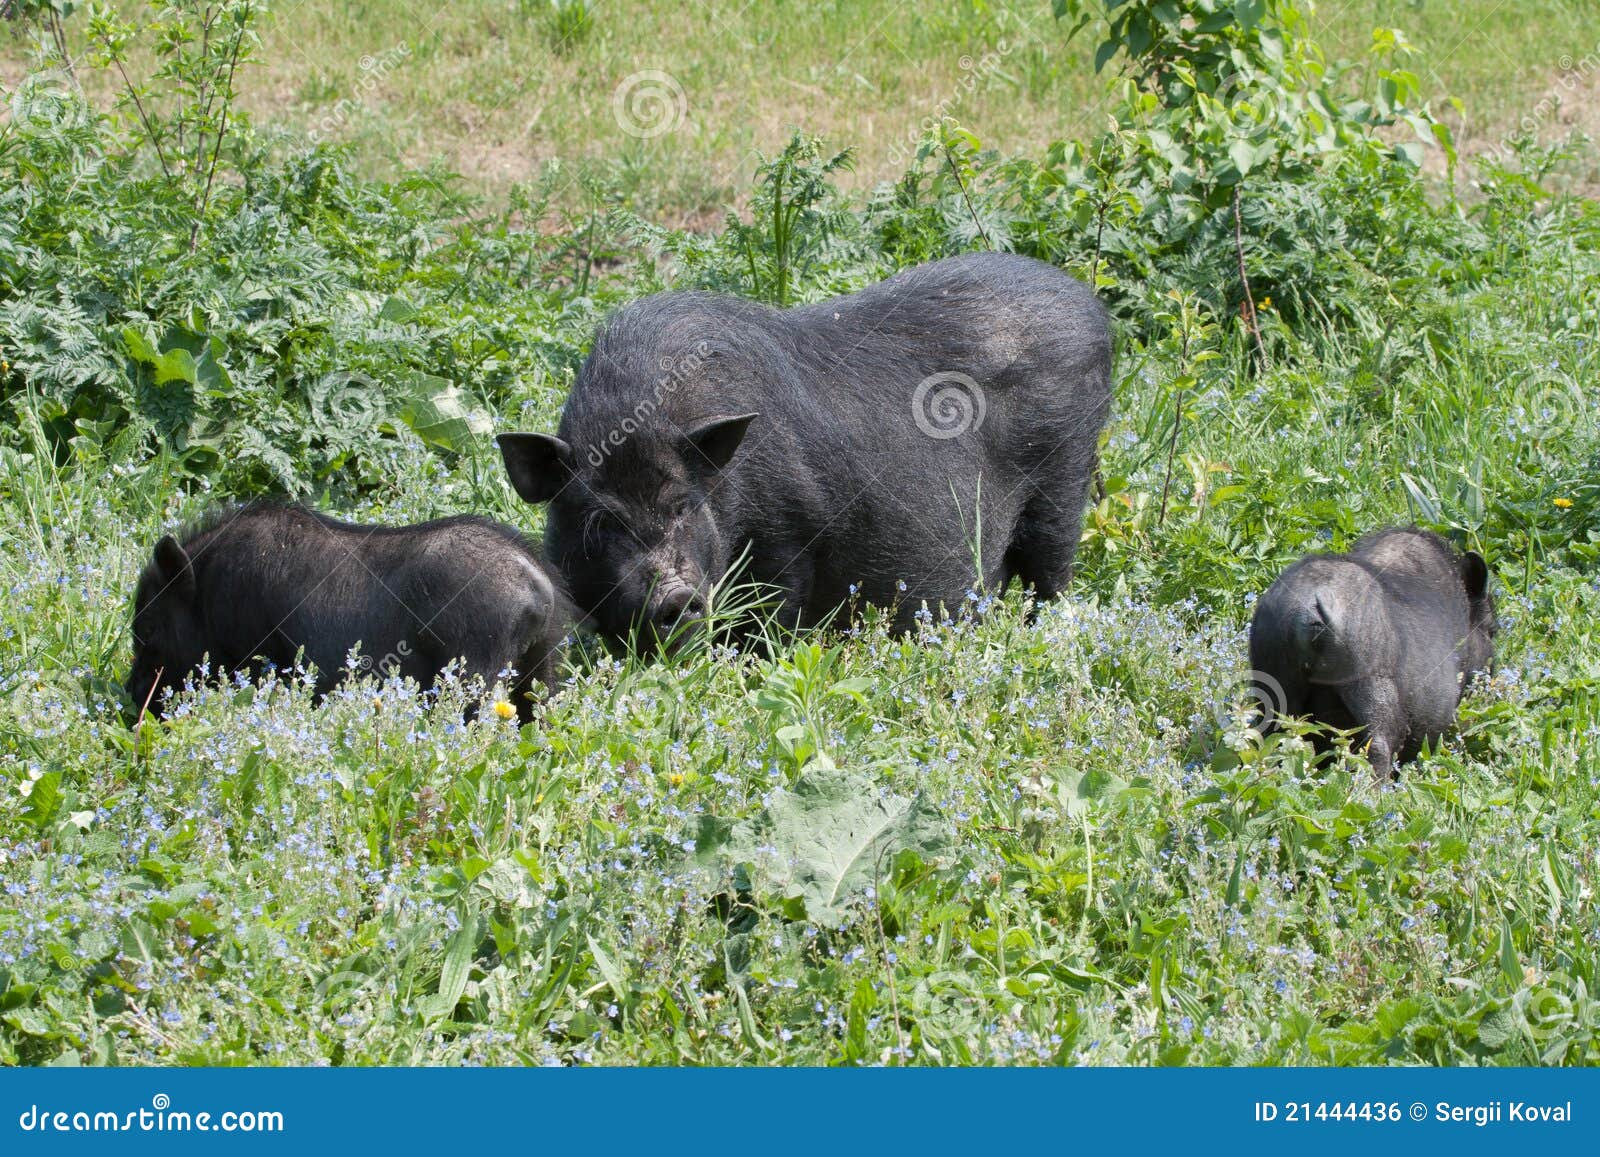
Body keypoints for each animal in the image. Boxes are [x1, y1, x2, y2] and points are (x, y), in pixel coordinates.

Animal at [125, 503, 570, 720]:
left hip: (473, 670)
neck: (205, 591)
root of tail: (537, 584)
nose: (132, 694)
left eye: (146, 630)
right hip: (540, 664)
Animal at [496, 251, 1112, 643]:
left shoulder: (791, 533)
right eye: (600, 521)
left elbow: (772, 620)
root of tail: (1091, 306)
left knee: (1052, 577)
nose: (674, 597)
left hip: (1066, 478)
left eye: (684, 507)